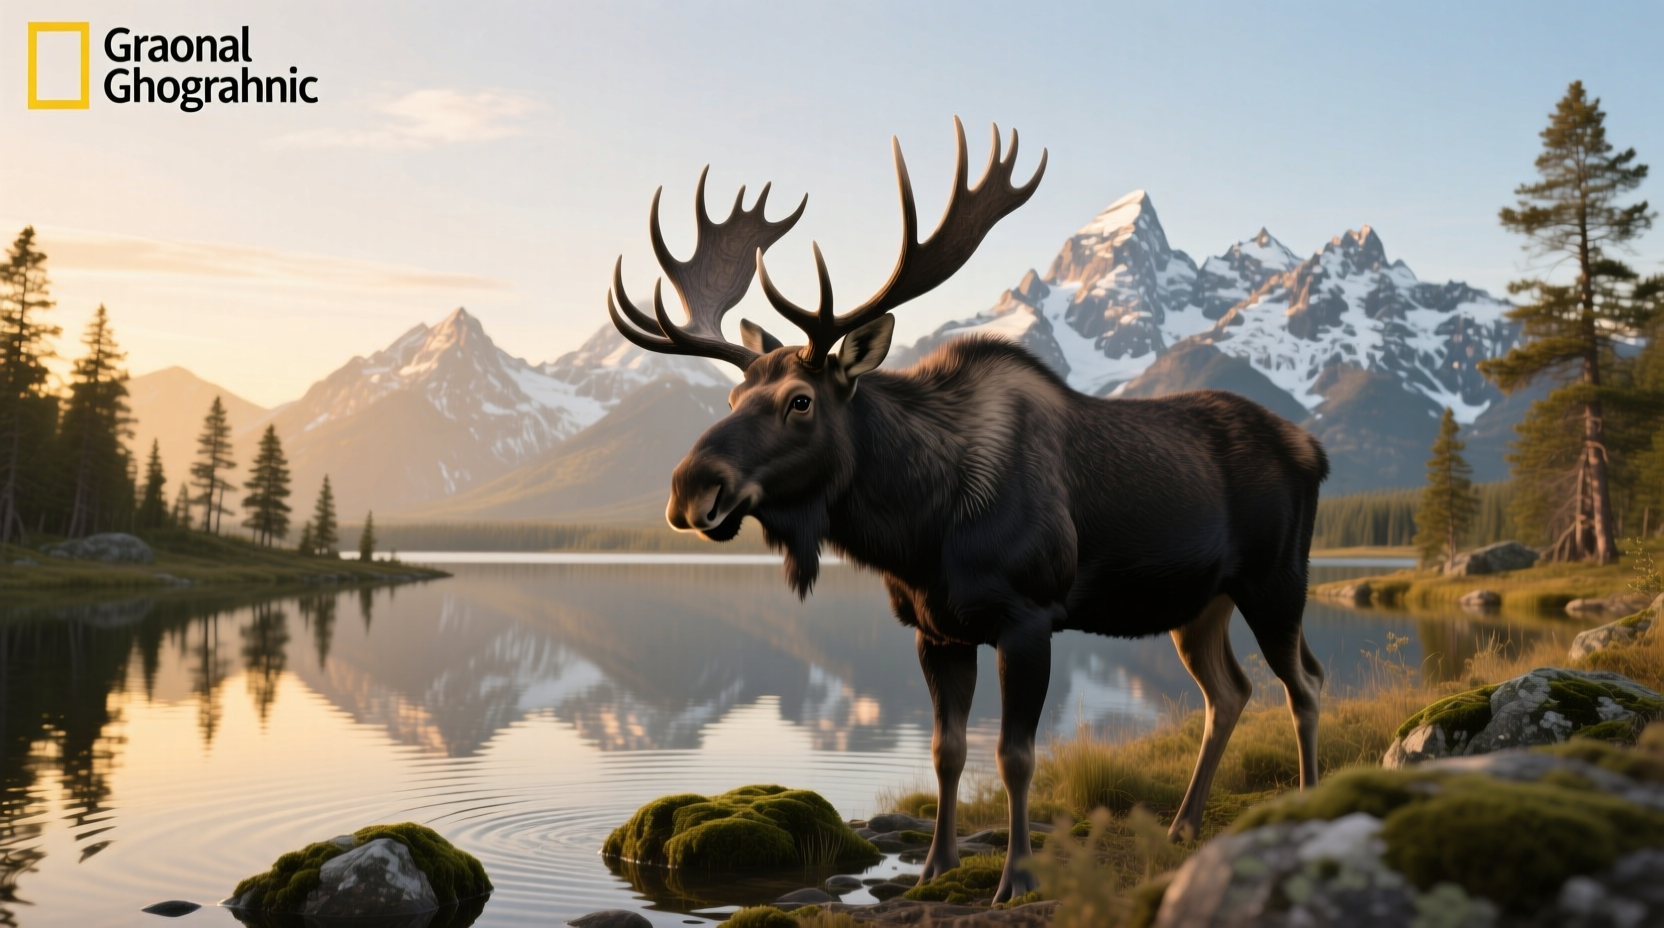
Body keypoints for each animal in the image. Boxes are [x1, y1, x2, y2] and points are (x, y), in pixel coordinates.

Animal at [606, 119, 1328, 902]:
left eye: (800, 401)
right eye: (735, 397)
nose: (689, 489)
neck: (920, 530)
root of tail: (1315, 450)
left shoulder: (1028, 616)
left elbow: (1015, 755)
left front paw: (1016, 878)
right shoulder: (935, 629)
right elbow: (945, 750)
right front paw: (935, 867)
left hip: (1276, 582)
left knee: (1304, 686)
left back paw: (1308, 804)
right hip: (1198, 605)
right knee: (1228, 693)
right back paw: (1182, 826)